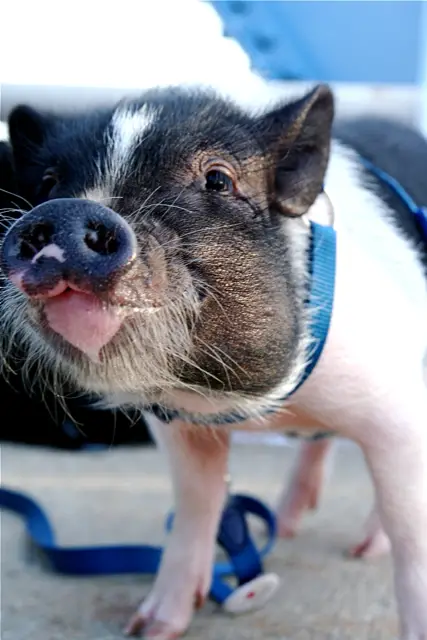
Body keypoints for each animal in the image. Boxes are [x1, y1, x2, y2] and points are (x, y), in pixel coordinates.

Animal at [0, 85, 426, 640]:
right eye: (49, 183)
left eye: (218, 179)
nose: (69, 211)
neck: (242, 401)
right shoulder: (177, 427)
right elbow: (196, 503)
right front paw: (150, 628)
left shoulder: (398, 408)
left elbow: (409, 525)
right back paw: (288, 522)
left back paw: (361, 548)